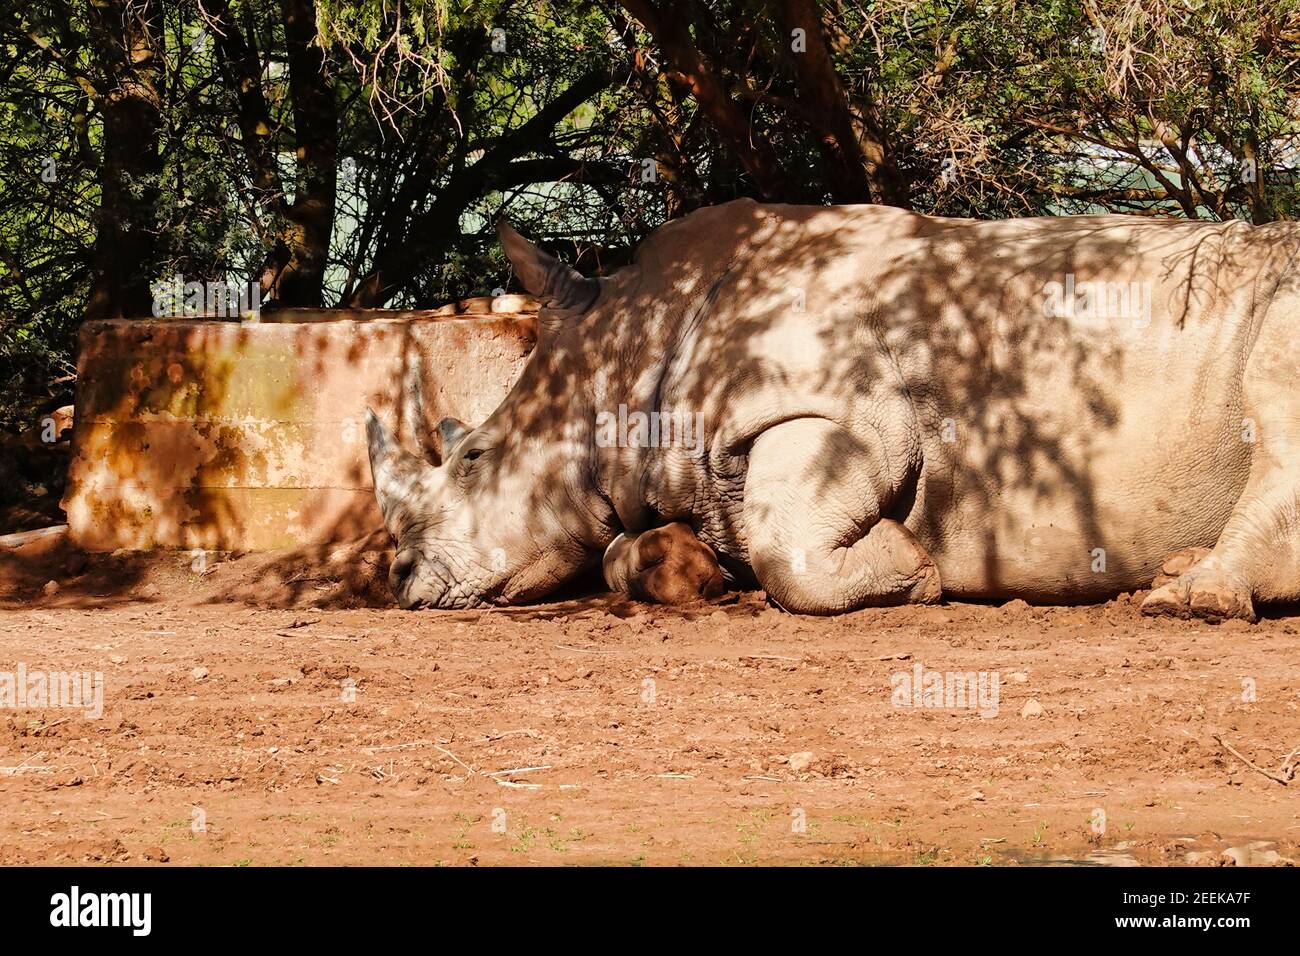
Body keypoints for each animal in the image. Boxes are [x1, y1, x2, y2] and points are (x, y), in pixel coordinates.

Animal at [366, 199, 1300, 621]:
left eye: (475, 456)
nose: (401, 581)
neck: (625, 352)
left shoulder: (842, 411)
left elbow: (791, 549)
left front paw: (915, 570)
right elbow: (625, 551)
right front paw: (697, 573)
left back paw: (1186, 600)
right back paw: (1179, 571)